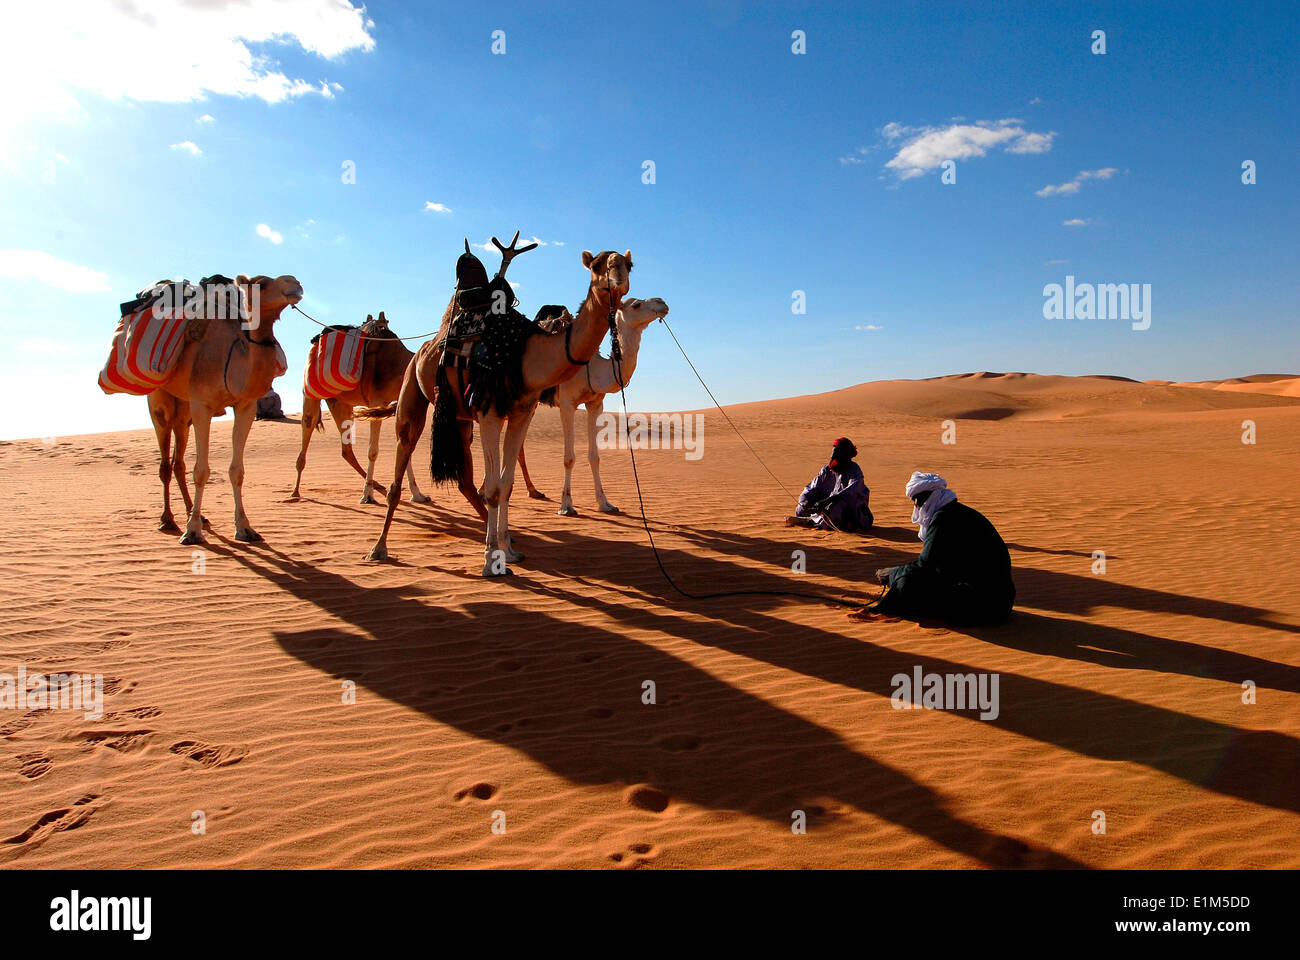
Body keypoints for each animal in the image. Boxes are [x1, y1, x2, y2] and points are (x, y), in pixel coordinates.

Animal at [151, 274, 304, 545]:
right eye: (261, 283)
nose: (294, 282)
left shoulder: (245, 405)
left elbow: (237, 471)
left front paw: (245, 528)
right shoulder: (202, 404)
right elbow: (201, 470)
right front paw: (192, 532)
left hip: (183, 410)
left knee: (178, 461)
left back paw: (196, 514)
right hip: (159, 401)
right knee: (165, 461)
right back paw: (168, 520)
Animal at [290, 312, 430, 505]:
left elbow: (405, 449)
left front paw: (417, 494)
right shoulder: (377, 401)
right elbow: (373, 451)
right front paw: (367, 495)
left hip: (340, 402)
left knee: (346, 450)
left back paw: (379, 486)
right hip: (310, 393)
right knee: (308, 425)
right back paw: (295, 492)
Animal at [366, 239, 632, 575]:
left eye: (629, 264)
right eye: (597, 266)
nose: (617, 275)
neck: (526, 355)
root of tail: (422, 350)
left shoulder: (521, 412)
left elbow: (505, 484)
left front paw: (507, 550)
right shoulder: (489, 411)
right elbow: (493, 487)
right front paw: (491, 560)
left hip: (459, 417)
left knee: (465, 480)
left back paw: (500, 534)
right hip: (413, 395)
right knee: (400, 466)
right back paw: (379, 548)